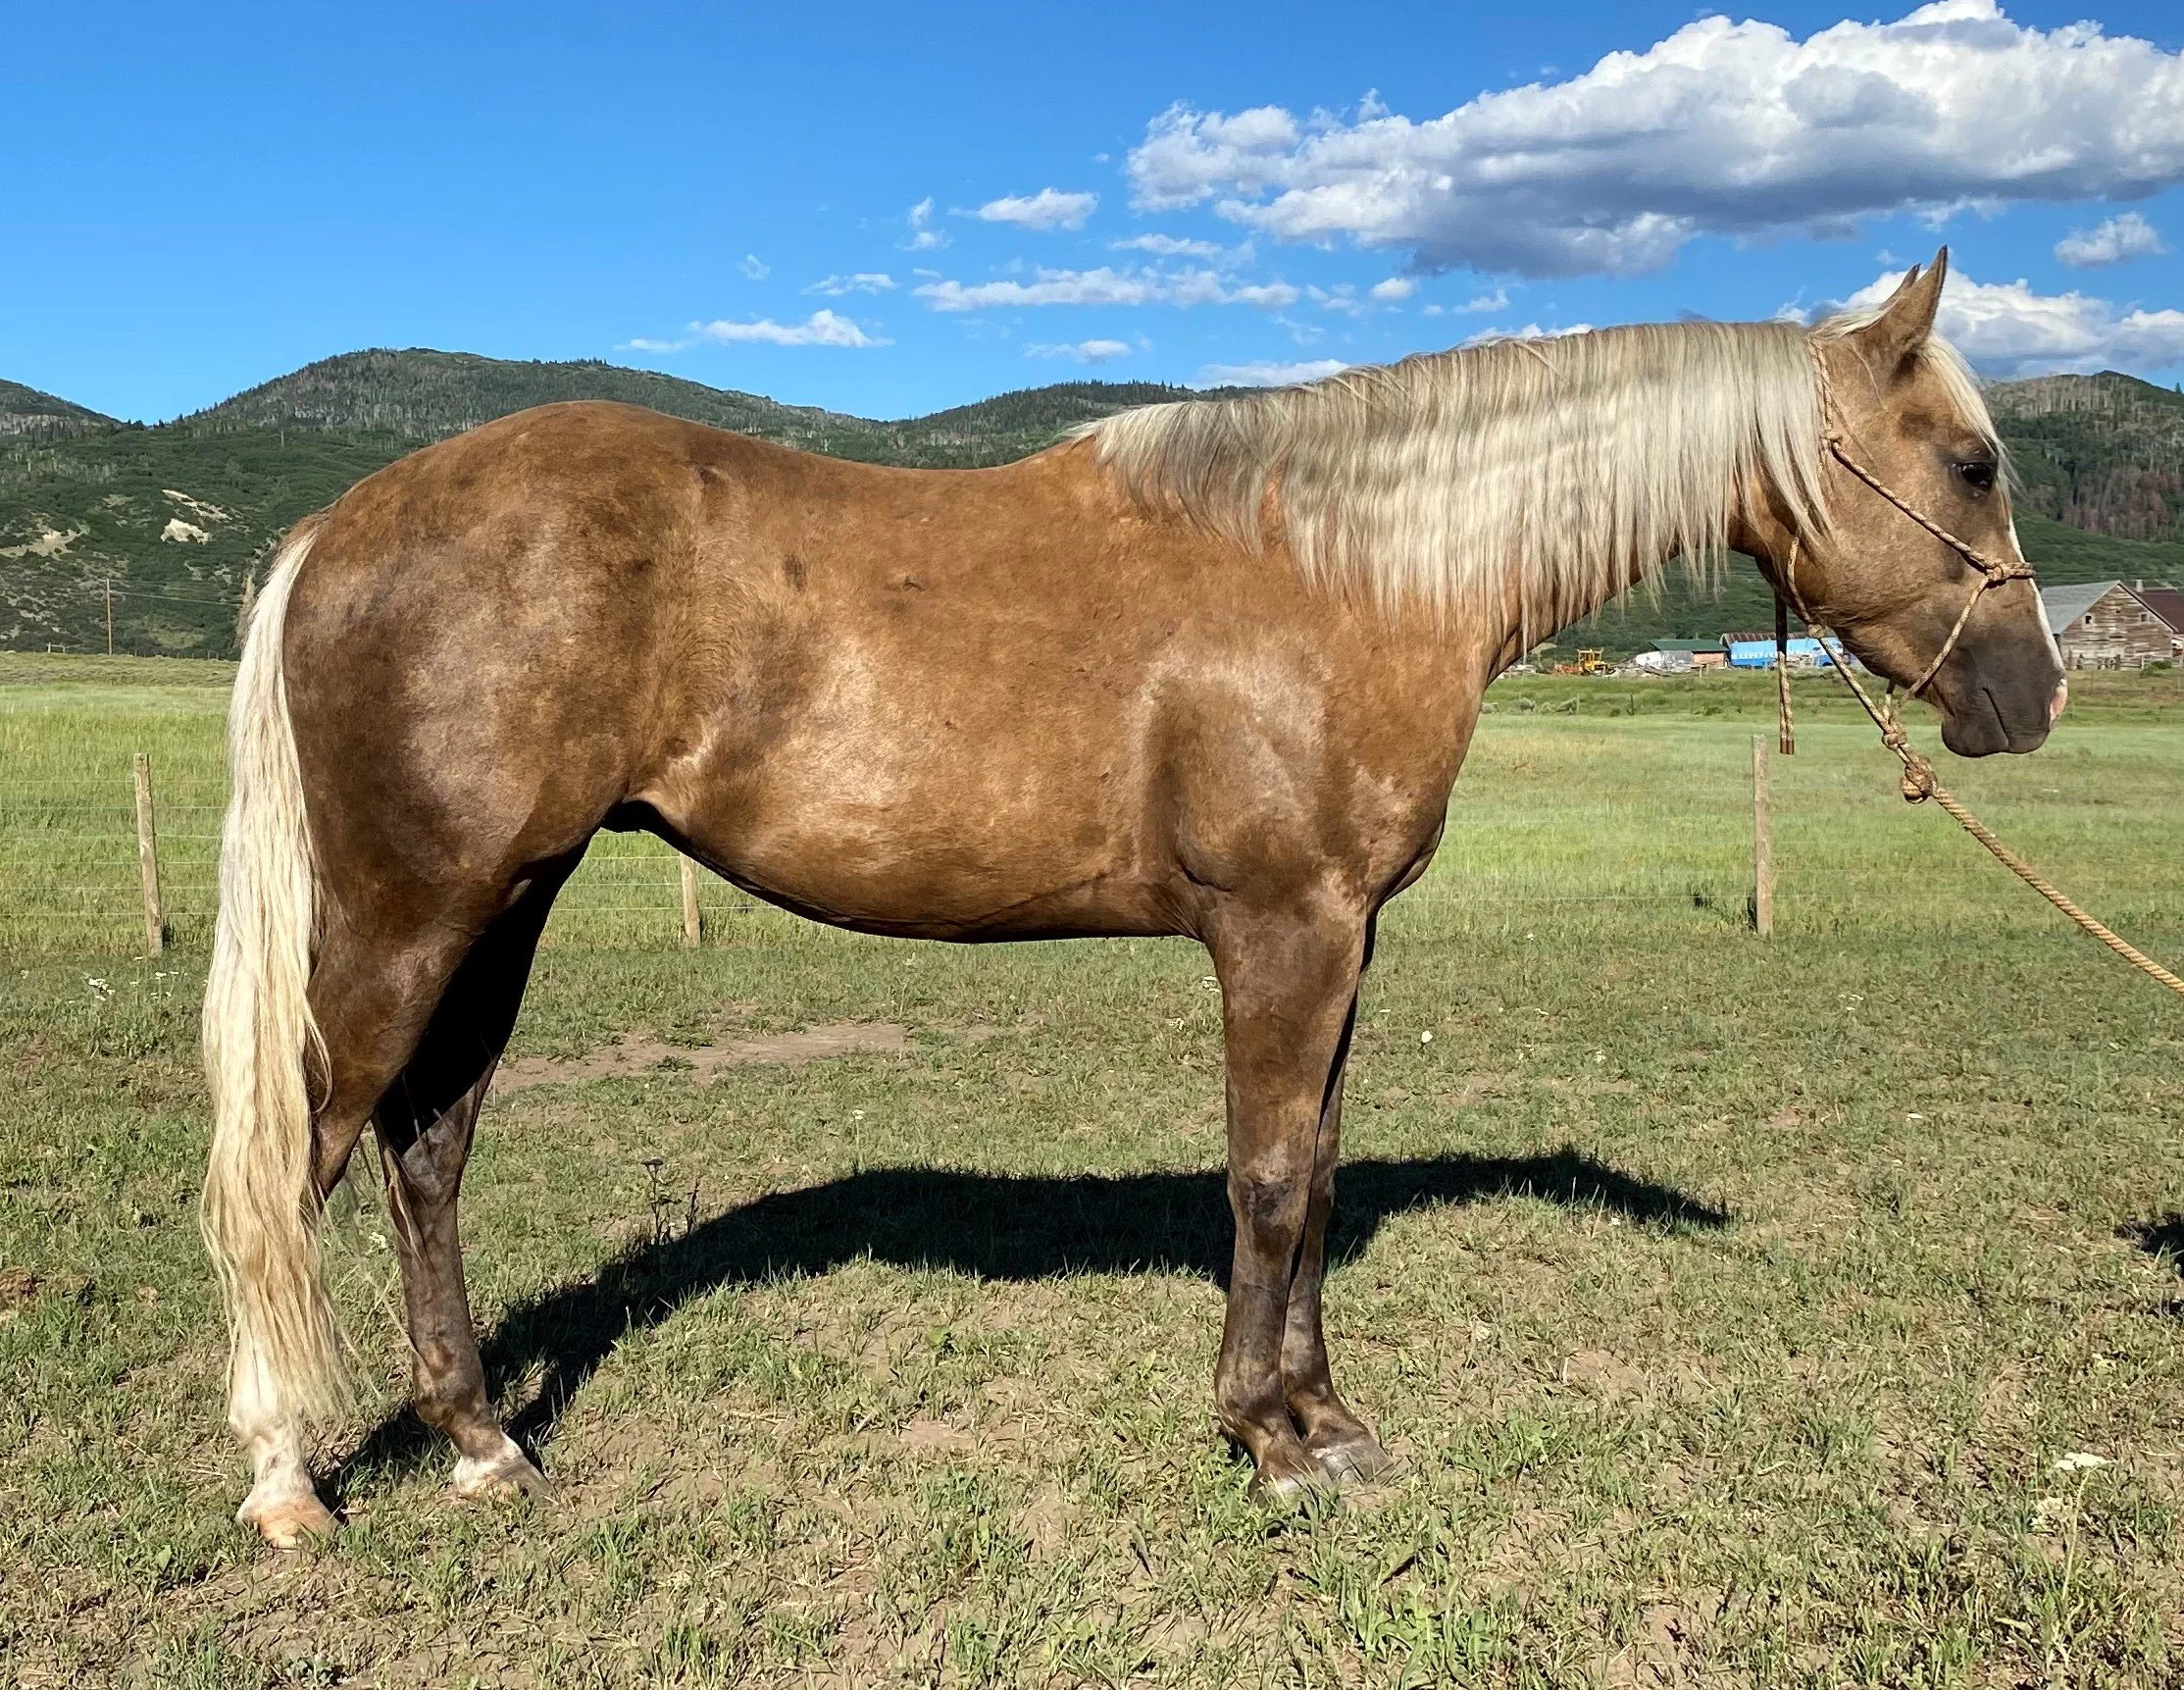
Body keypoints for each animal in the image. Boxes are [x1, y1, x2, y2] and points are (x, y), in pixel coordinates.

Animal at [202, 249, 2065, 1546]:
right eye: (1969, 463)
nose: (2030, 695)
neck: (1345, 565)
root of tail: (336, 526)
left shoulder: (1344, 933)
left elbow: (1316, 1170)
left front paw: (1325, 1415)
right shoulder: (1281, 930)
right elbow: (1264, 1178)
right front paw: (1266, 1436)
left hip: (504, 901)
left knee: (427, 1151)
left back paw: (478, 1436)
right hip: (407, 918)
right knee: (291, 1167)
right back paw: (289, 1477)